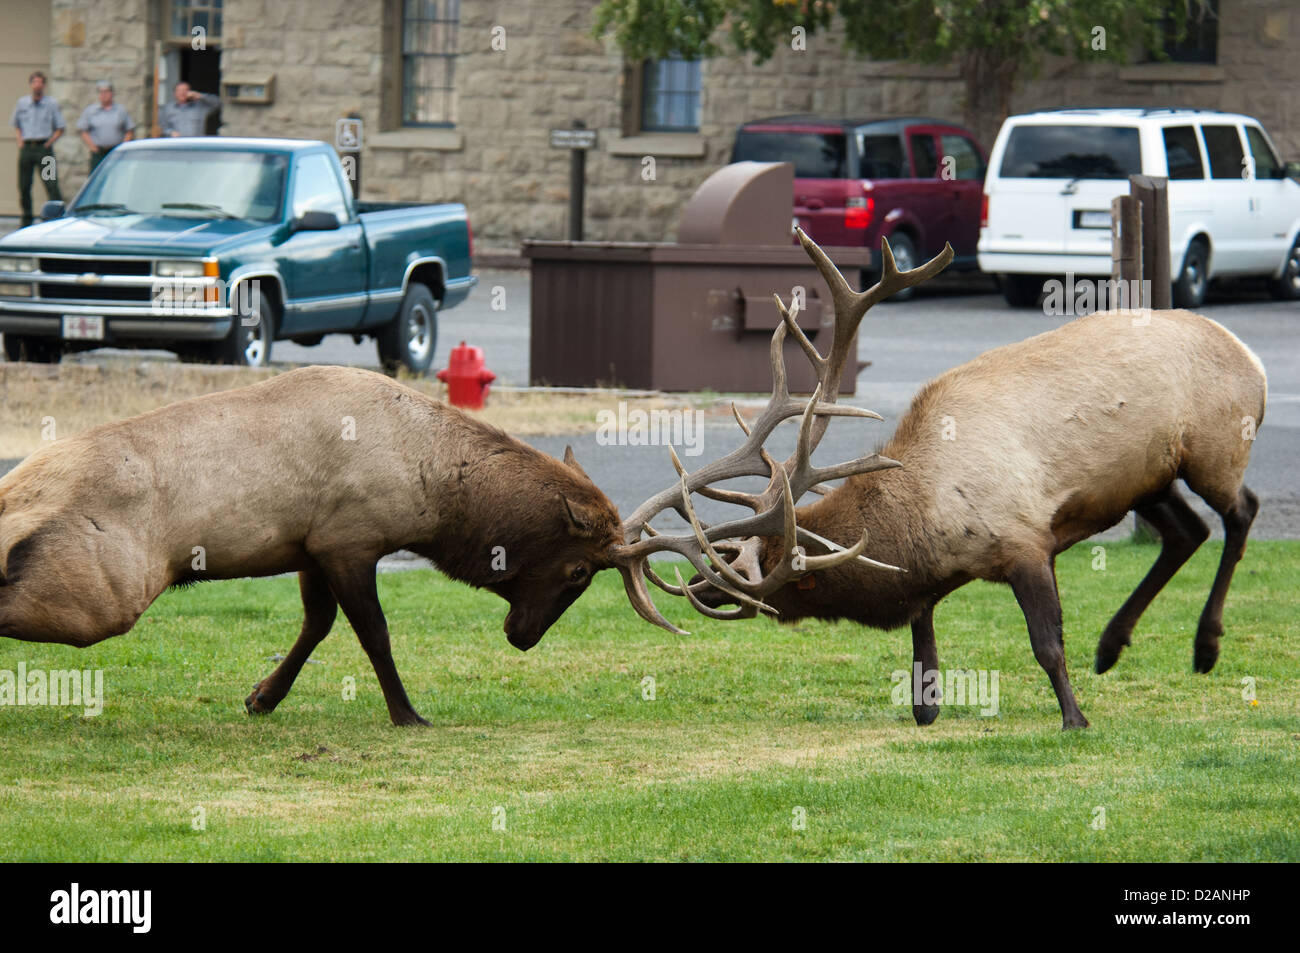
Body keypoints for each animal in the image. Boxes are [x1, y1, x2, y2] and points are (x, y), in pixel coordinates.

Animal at [612, 229, 1267, 730]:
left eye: (765, 580)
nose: (701, 590)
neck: (926, 518)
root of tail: (1251, 356)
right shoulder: (940, 583)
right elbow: (923, 673)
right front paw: (930, 711)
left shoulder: (1026, 541)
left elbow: (1047, 645)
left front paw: (1075, 718)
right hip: (1148, 479)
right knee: (1186, 531)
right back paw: (1112, 645)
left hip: (1214, 448)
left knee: (1241, 511)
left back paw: (1205, 644)